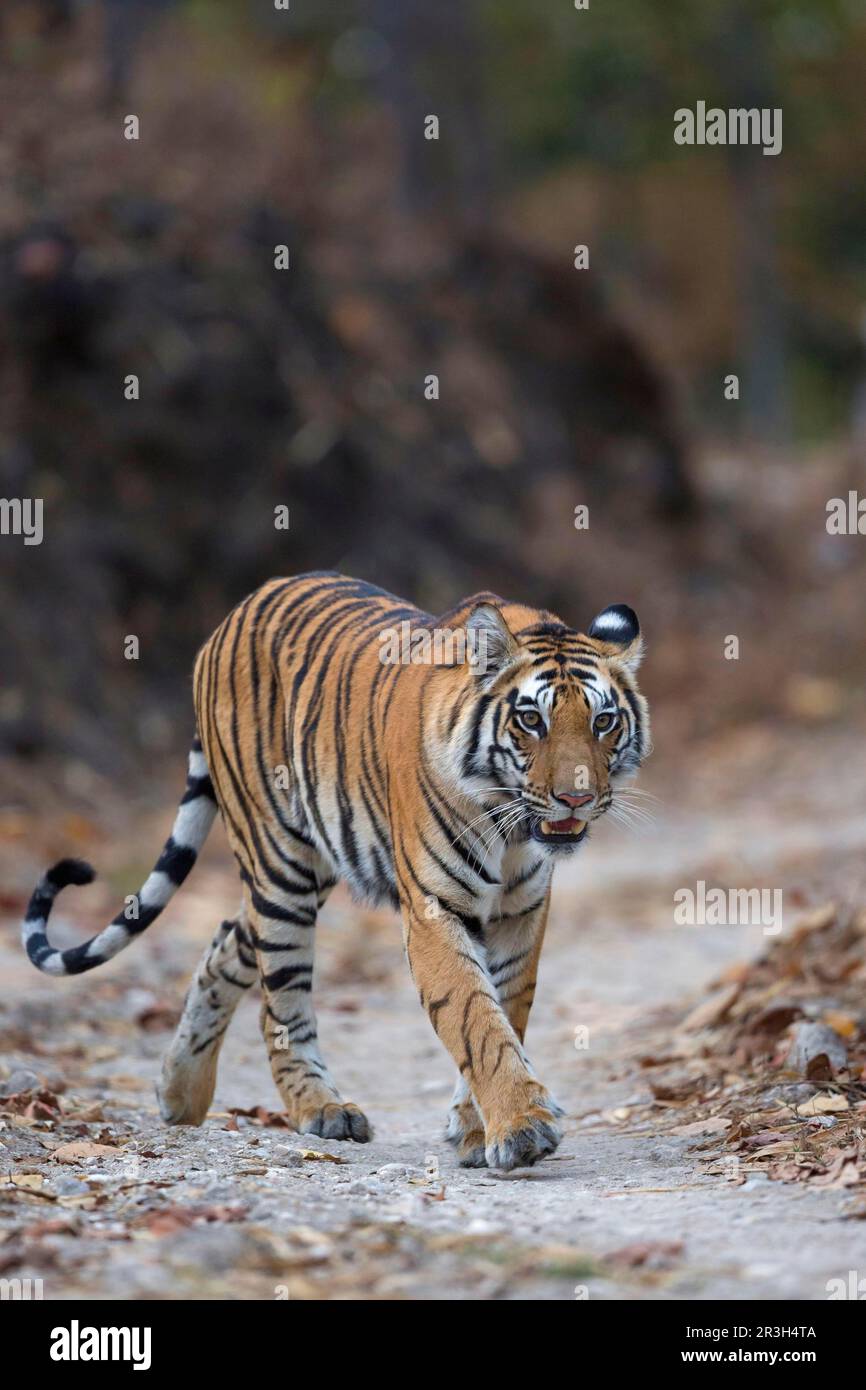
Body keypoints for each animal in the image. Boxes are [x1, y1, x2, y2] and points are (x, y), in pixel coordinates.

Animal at [21, 572, 649, 1170]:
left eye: (604, 721)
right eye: (530, 720)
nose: (576, 799)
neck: (510, 829)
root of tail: (234, 614)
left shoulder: (521, 910)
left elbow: (507, 1012)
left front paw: (474, 1129)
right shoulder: (434, 909)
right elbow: (476, 1018)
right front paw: (521, 1130)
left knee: (228, 940)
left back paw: (179, 1091)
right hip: (281, 867)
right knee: (279, 1004)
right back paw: (321, 1108)